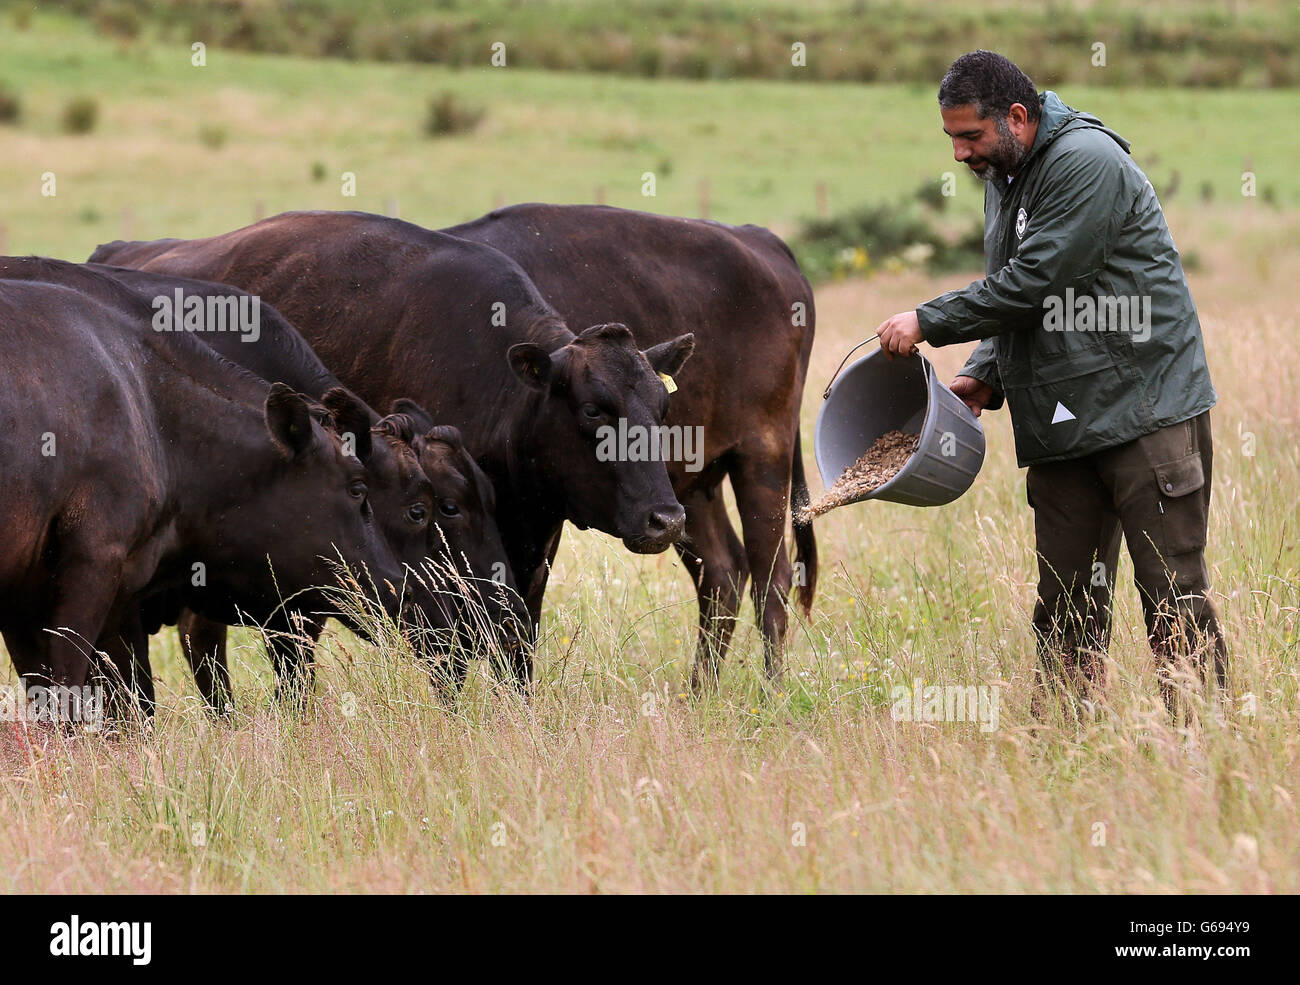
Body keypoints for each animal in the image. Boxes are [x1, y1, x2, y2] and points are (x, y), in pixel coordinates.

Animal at [441, 205, 816, 690]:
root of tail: (759, 239)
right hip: (688, 487)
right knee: (723, 571)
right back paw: (700, 695)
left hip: (762, 455)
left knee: (773, 580)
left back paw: (770, 696)